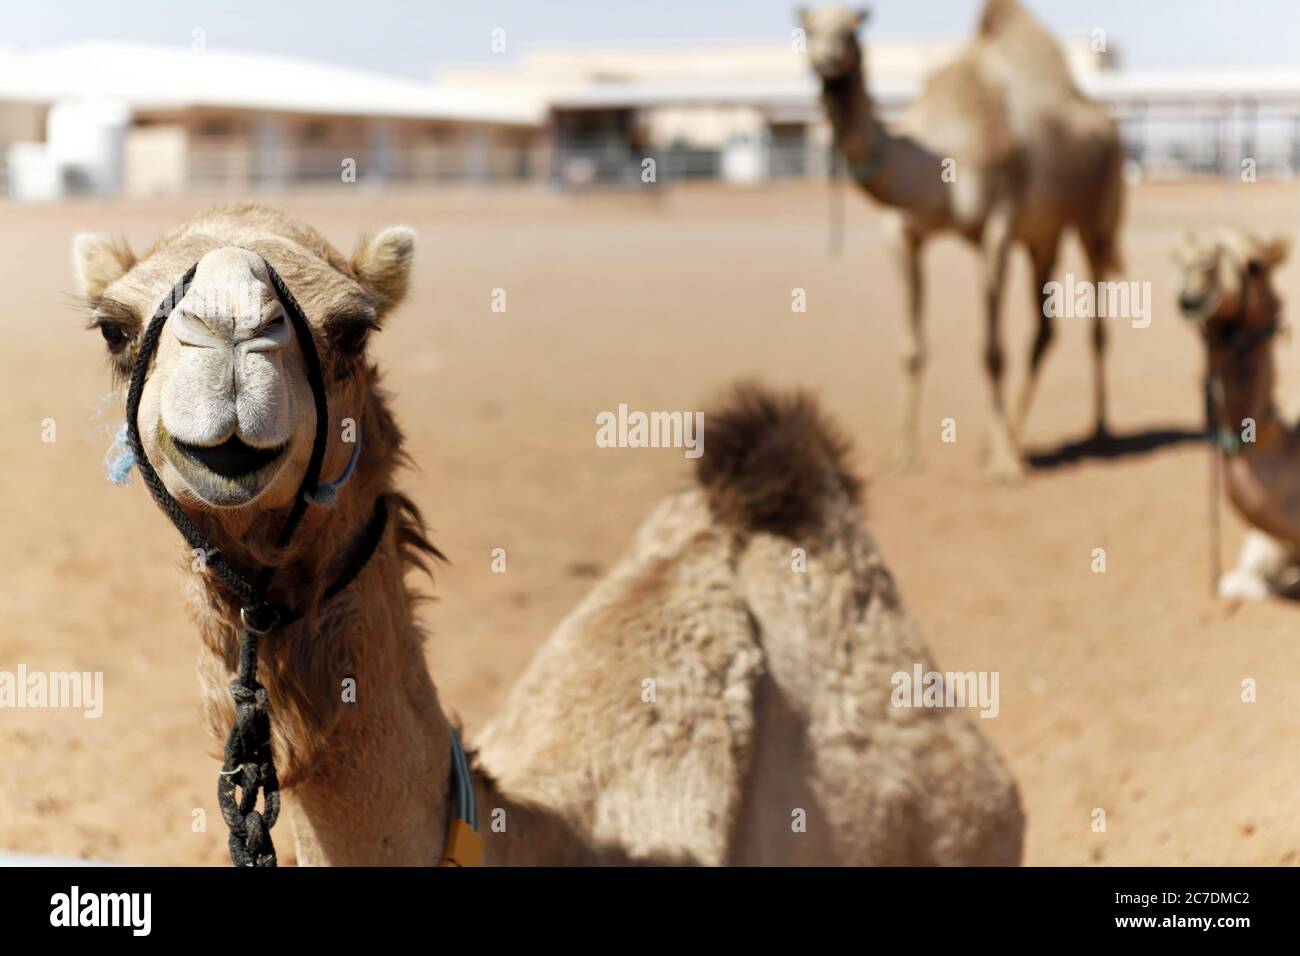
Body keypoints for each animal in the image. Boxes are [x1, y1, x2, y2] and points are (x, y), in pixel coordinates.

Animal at [800, 1, 1125, 479]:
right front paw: (904, 454)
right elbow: (910, 348)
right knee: (1045, 330)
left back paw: (1098, 430)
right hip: (1042, 235)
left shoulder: (997, 226)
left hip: (1098, 210)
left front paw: (1006, 467)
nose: (825, 61)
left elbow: (992, 352)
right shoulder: (903, 235)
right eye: (807, 28)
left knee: (1098, 322)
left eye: (849, 31)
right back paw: (1008, 437)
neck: (936, 163)